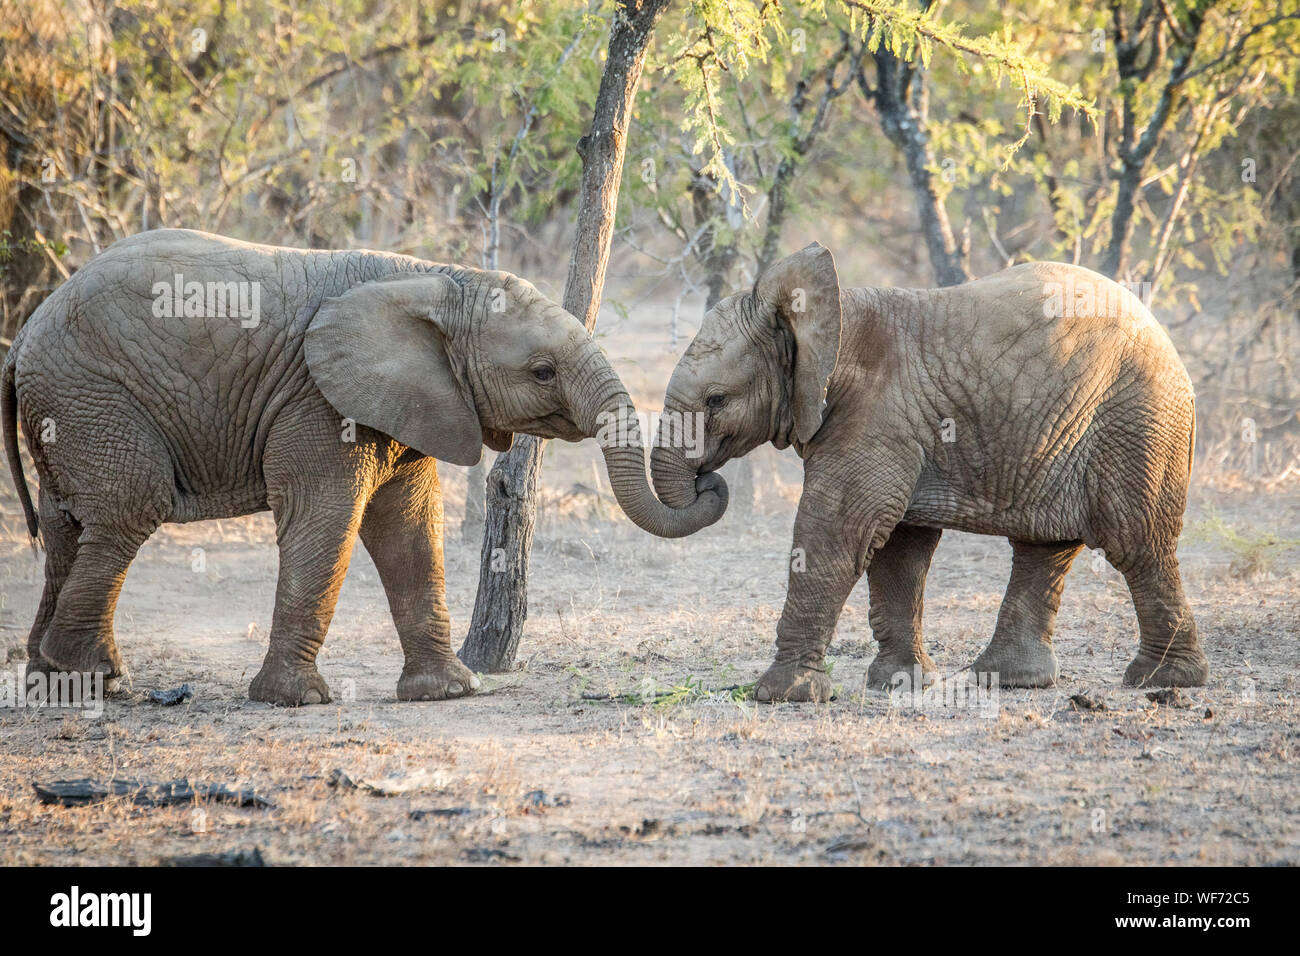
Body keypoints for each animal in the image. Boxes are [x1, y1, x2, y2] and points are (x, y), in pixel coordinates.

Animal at [1, 228, 725, 705]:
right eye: (542, 372)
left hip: (67, 407)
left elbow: (410, 530)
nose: (710, 477)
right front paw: (296, 701)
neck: (433, 278)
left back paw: (58, 681)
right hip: (93, 396)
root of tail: (25, 336)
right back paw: (96, 678)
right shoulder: (318, 401)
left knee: (68, 526)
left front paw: (449, 693)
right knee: (130, 507)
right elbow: (327, 523)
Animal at [646, 242, 1207, 702]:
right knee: (1044, 546)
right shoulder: (898, 426)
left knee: (1137, 541)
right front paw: (900, 684)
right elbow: (899, 547)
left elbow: (839, 533)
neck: (829, 317)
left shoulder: (878, 416)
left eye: (717, 400)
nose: (707, 481)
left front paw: (783, 695)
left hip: (1138, 421)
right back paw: (1008, 680)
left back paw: (1162, 681)